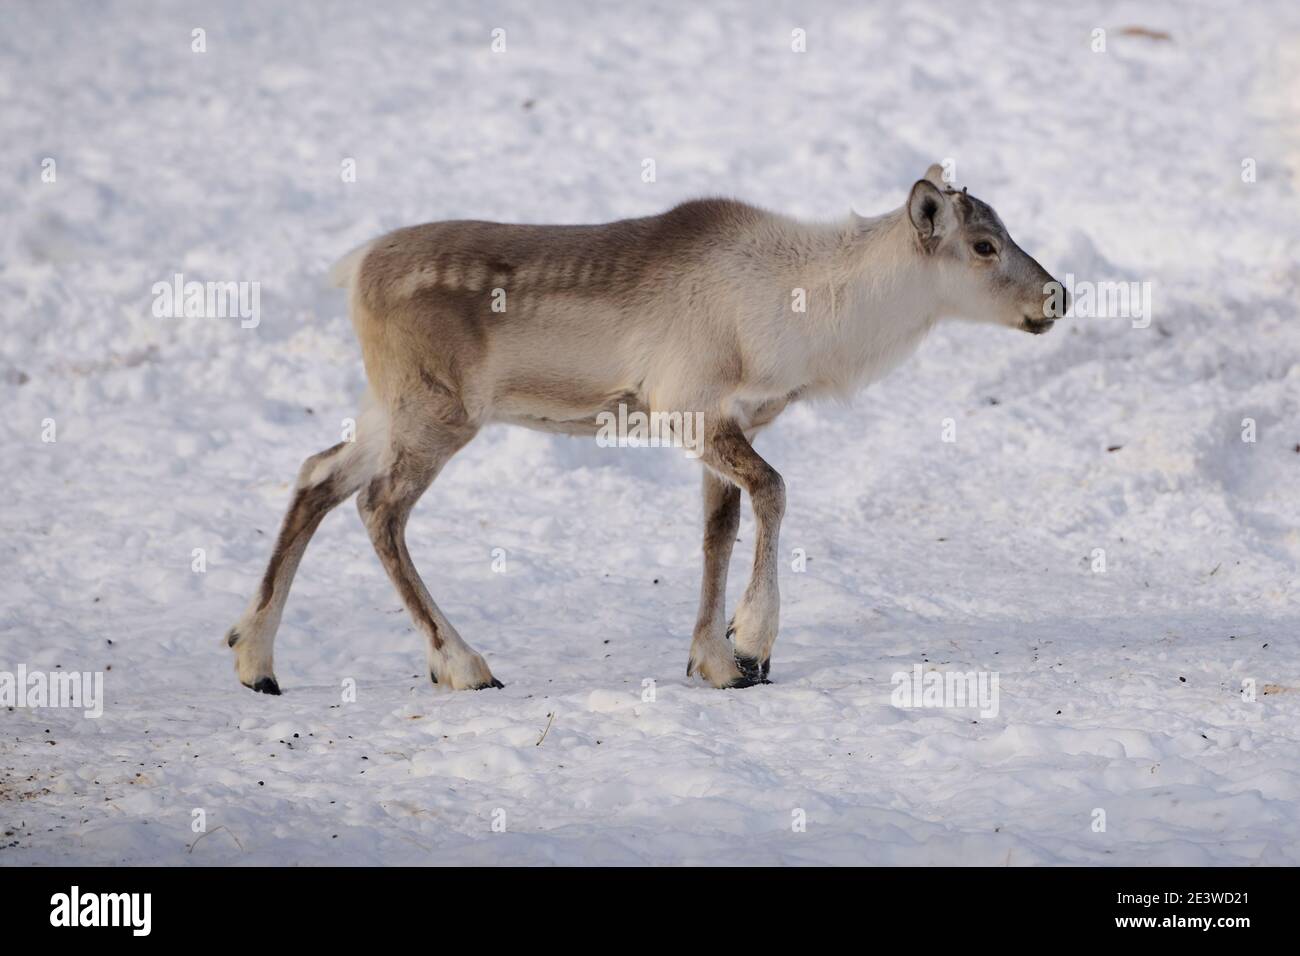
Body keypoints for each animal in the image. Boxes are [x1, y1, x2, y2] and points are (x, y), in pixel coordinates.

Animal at [224, 164, 1066, 694]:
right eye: (983, 245)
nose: (1056, 296)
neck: (806, 313)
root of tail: (352, 267)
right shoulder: (688, 408)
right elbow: (775, 492)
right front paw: (752, 642)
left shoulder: (725, 423)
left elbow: (718, 531)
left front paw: (714, 661)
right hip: (437, 413)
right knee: (379, 508)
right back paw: (462, 664)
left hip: (388, 410)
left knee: (317, 475)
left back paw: (254, 658)